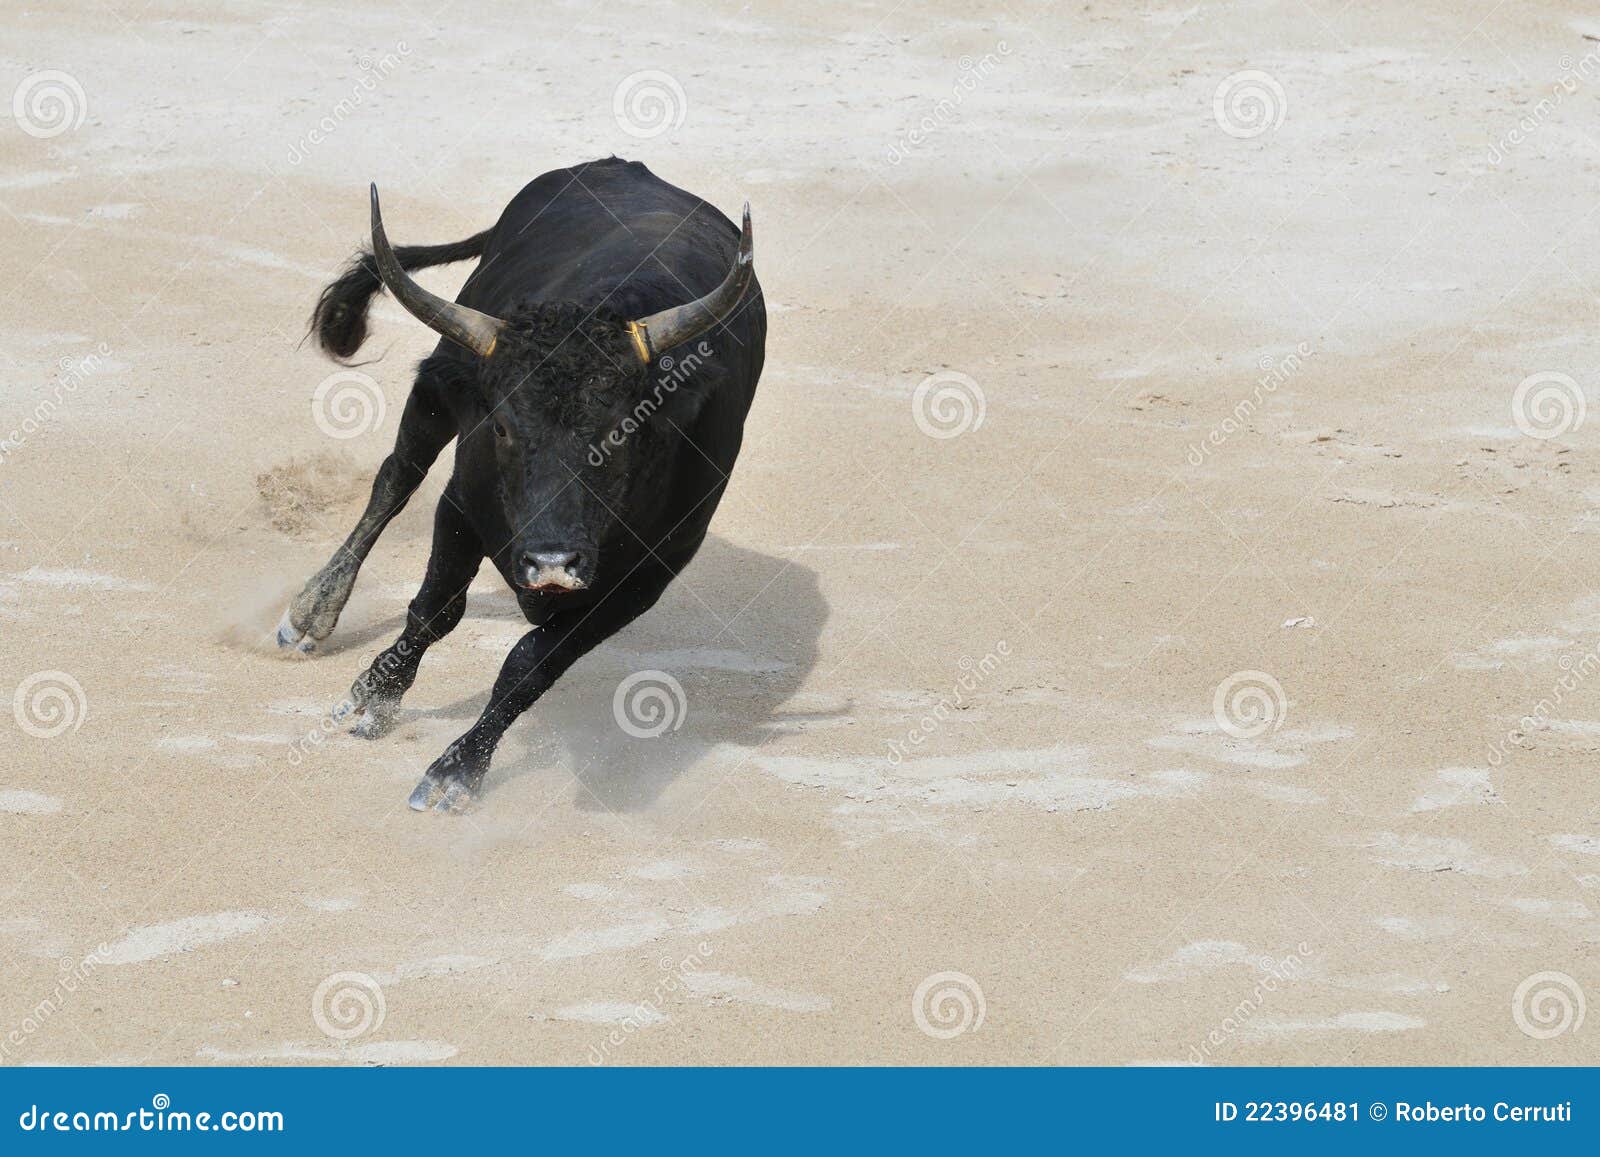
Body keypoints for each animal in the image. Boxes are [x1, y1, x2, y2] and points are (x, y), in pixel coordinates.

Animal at [276, 158, 765, 813]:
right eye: (504, 426)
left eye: (623, 429)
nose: (551, 561)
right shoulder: (462, 506)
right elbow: (434, 611)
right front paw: (371, 699)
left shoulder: (643, 580)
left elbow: (531, 665)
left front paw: (458, 769)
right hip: (438, 386)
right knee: (397, 477)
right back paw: (313, 610)